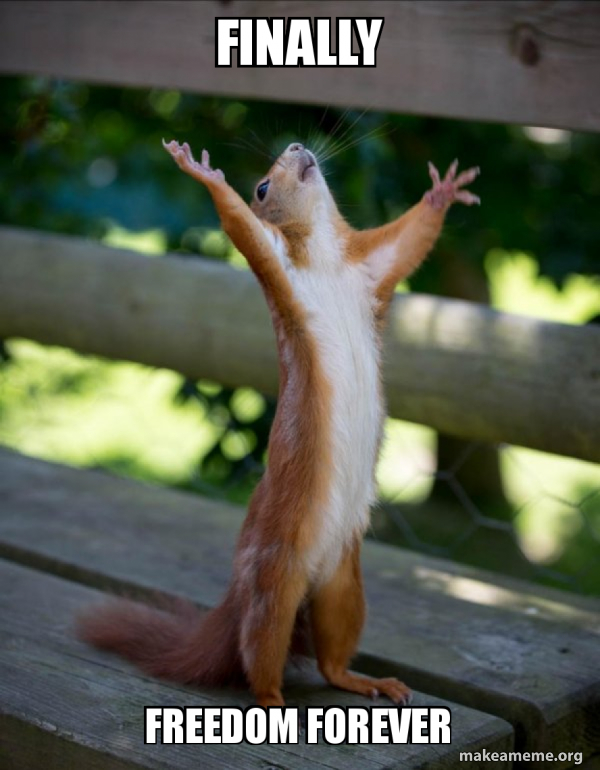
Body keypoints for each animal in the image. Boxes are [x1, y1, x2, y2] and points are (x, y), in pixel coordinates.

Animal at [77, 139, 479, 708]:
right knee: (258, 654)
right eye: (262, 187)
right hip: (274, 582)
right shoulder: (277, 264)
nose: (296, 146)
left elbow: (410, 240)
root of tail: (238, 595)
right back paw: (274, 701)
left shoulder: (372, 267)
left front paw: (442, 192)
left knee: (332, 658)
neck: (327, 258)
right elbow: (240, 225)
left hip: (344, 586)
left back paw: (366, 680)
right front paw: (204, 173)